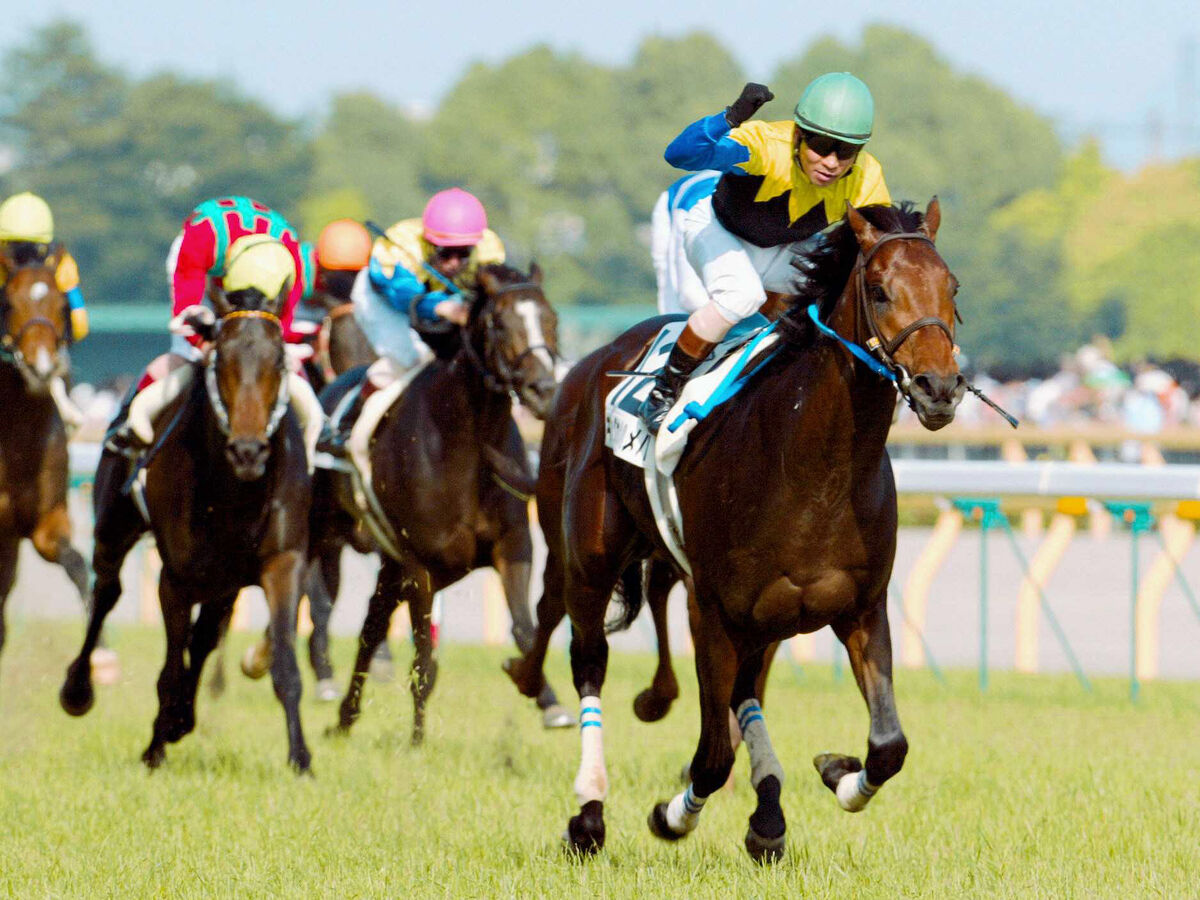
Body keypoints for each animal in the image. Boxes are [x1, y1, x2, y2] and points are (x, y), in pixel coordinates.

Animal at [59, 276, 314, 772]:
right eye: (222, 360)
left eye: (278, 361)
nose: (249, 450)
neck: (236, 494)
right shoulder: (174, 577)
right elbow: (170, 670)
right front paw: (155, 749)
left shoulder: (282, 562)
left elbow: (284, 667)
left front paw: (301, 759)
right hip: (114, 527)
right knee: (106, 593)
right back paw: (80, 689)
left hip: (224, 580)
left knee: (206, 634)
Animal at [328, 261, 566, 744]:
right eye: (499, 323)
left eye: (550, 319)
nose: (544, 390)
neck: (465, 446)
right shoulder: (421, 564)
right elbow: (424, 660)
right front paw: (418, 741)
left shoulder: (513, 547)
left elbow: (524, 628)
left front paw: (548, 701)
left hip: (391, 563)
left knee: (371, 625)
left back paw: (345, 716)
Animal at [504, 200, 965, 860]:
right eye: (879, 290)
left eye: (952, 288)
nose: (940, 388)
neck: (814, 464)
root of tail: (594, 360)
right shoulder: (712, 610)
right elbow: (712, 757)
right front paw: (670, 817)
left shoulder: (860, 608)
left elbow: (888, 746)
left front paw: (833, 772)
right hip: (589, 561)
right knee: (589, 661)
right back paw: (589, 813)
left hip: (761, 615)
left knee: (747, 691)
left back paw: (768, 810)